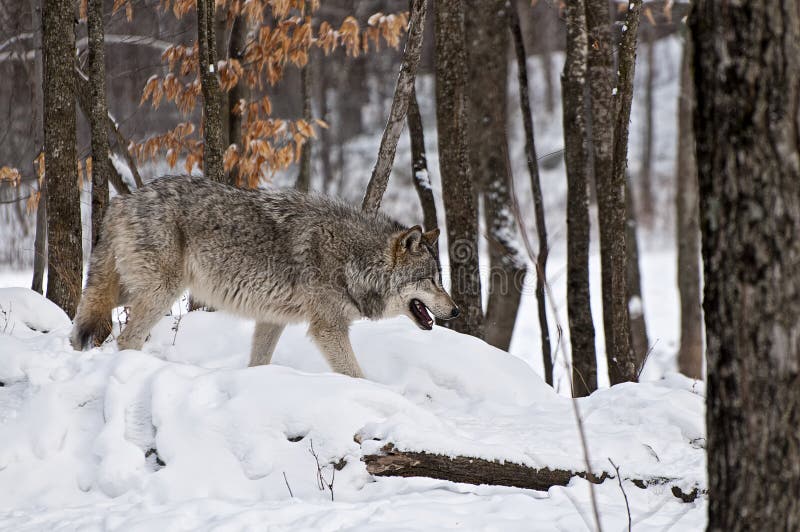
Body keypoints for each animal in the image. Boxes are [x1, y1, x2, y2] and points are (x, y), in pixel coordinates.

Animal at [70, 175, 459, 378]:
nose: (455, 311)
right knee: (126, 339)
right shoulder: (328, 328)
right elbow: (355, 375)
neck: (353, 258)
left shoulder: (272, 319)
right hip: (161, 292)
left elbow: (258, 362)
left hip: (126, 290)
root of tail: (124, 199)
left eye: (440, 278)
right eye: (430, 280)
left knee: (82, 318)